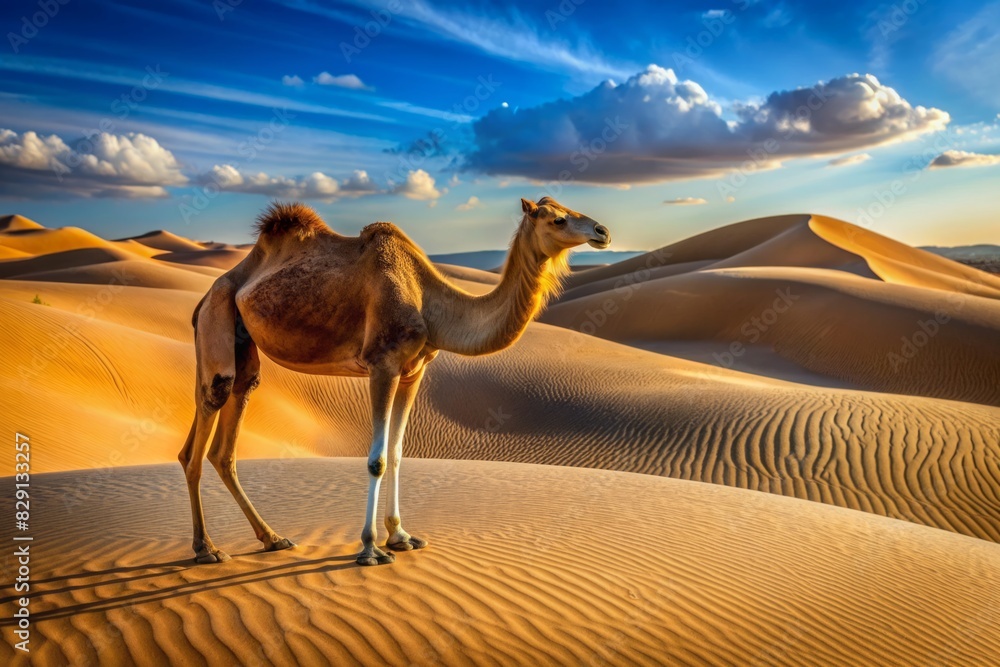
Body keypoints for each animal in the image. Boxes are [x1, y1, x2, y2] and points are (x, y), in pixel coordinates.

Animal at [179, 196, 611, 566]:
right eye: (556, 219)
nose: (602, 230)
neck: (430, 302)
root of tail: (206, 295)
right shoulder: (382, 365)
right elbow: (377, 460)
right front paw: (370, 549)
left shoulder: (414, 371)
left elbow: (399, 452)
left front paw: (400, 536)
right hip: (218, 320)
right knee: (202, 432)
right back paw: (206, 549)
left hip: (242, 347)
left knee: (223, 443)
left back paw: (272, 538)